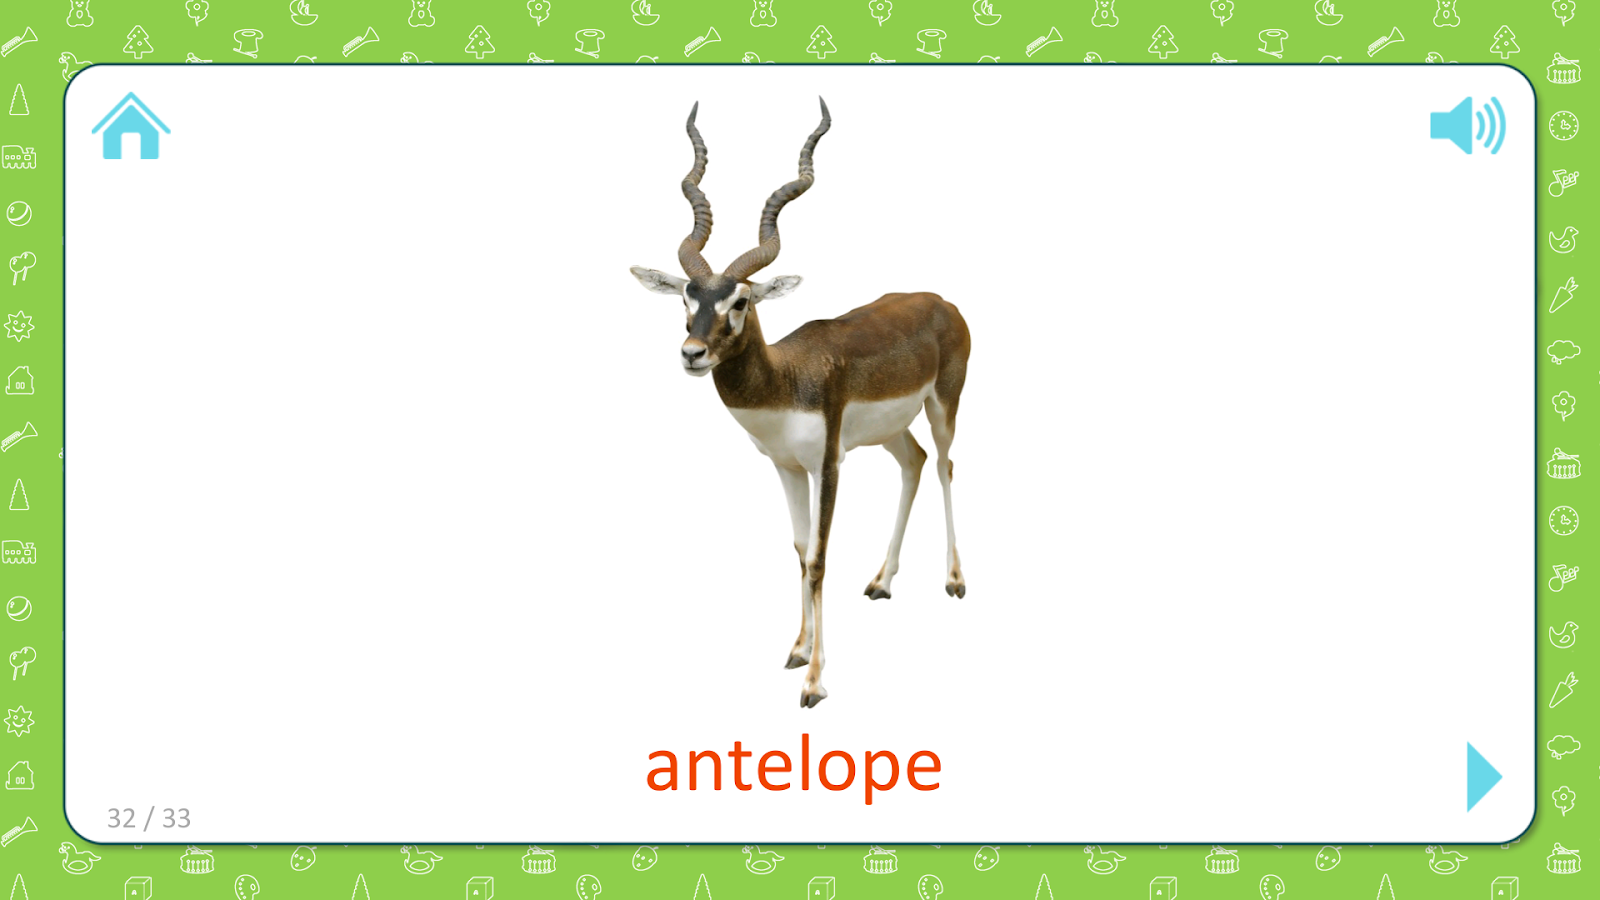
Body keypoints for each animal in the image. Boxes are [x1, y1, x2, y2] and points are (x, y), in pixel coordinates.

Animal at [630, 98, 970, 708]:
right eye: (687, 297)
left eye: (741, 301)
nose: (692, 353)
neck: (786, 379)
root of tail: (941, 301)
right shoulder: (785, 467)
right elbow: (797, 548)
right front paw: (796, 649)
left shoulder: (828, 465)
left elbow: (818, 558)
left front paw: (815, 680)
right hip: (891, 430)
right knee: (914, 463)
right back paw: (881, 582)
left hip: (943, 406)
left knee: (946, 465)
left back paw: (954, 581)